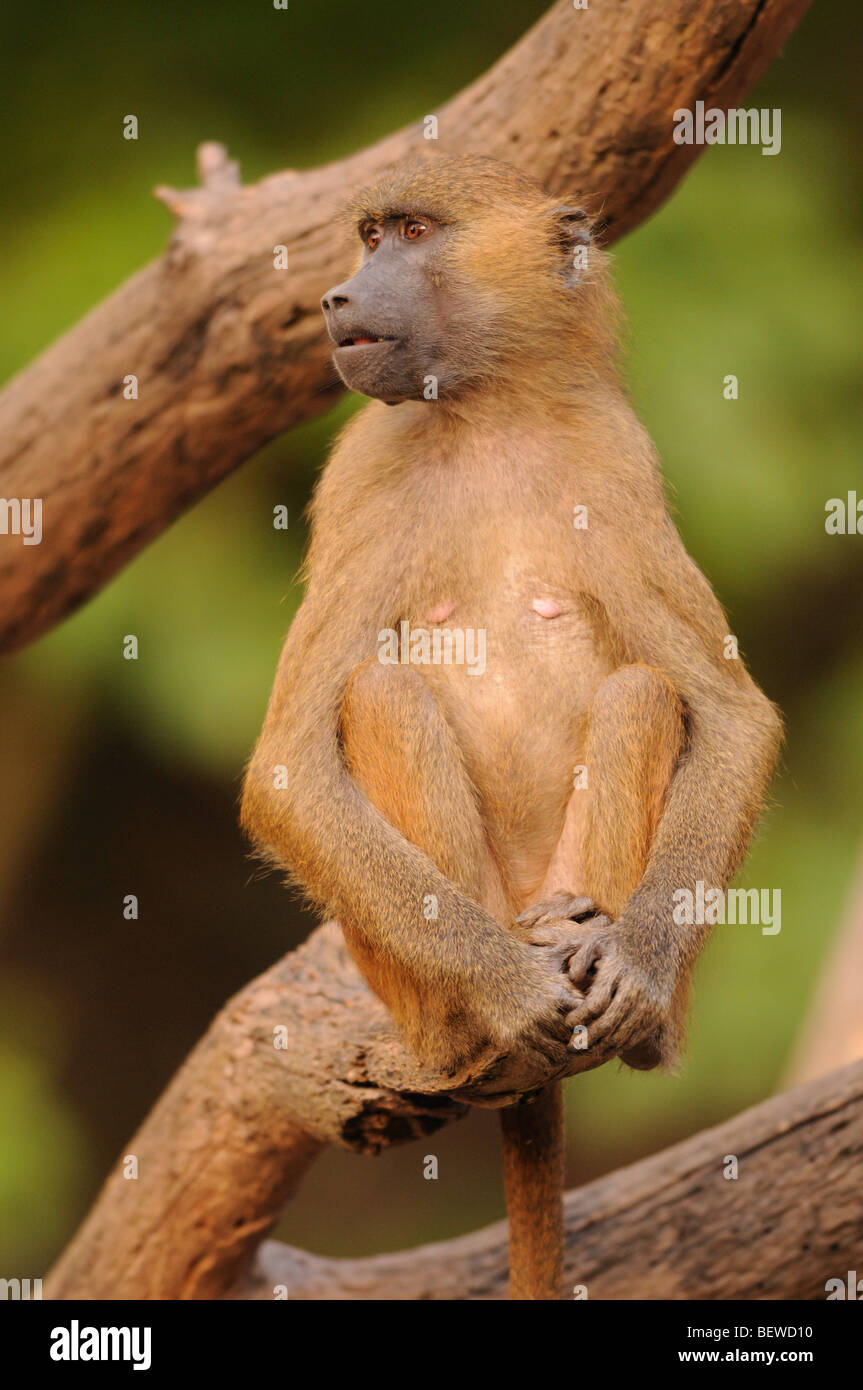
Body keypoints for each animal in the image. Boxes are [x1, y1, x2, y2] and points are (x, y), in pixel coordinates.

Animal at [240, 155, 782, 1300]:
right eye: (370, 234)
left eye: (410, 231)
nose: (336, 299)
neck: (484, 411)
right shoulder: (360, 469)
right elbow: (287, 764)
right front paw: (510, 993)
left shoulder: (614, 459)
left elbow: (728, 713)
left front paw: (634, 971)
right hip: (402, 963)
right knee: (381, 691)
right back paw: (486, 1025)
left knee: (639, 693)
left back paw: (586, 946)